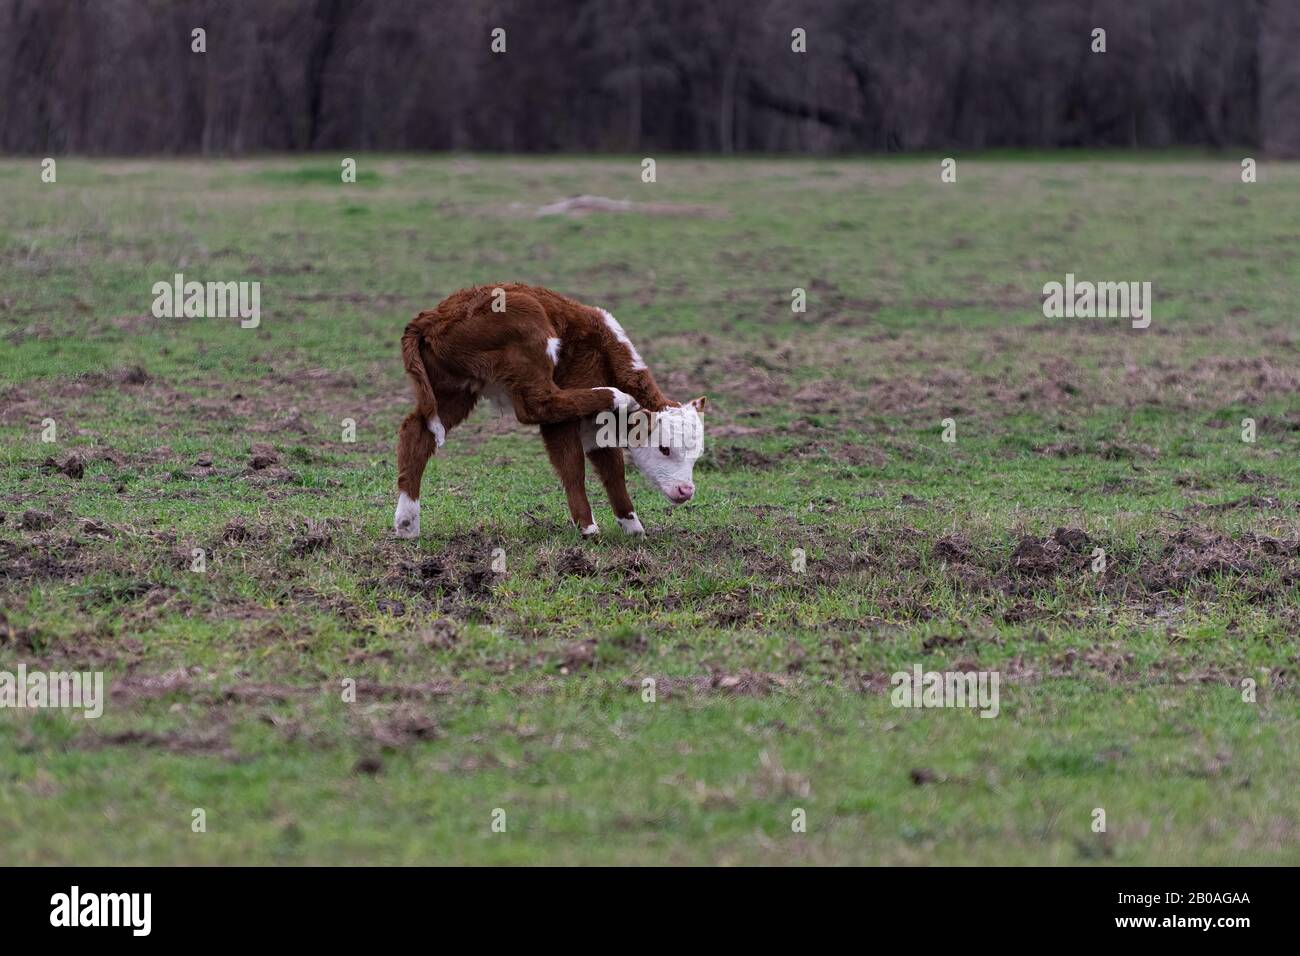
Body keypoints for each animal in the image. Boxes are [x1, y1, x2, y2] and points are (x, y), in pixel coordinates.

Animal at [394, 284, 706, 540]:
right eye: (664, 448)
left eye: (697, 455)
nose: (686, 491)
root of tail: (433, 315)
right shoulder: (562, 421)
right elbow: (572, 465)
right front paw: (587, 526)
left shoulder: (599, 428)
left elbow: (613, 471)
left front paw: (632, 526)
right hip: (528, 330)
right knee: (538, 404)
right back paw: (619, 396)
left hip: (453, 390)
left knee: (417, 431)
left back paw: (407, 523)